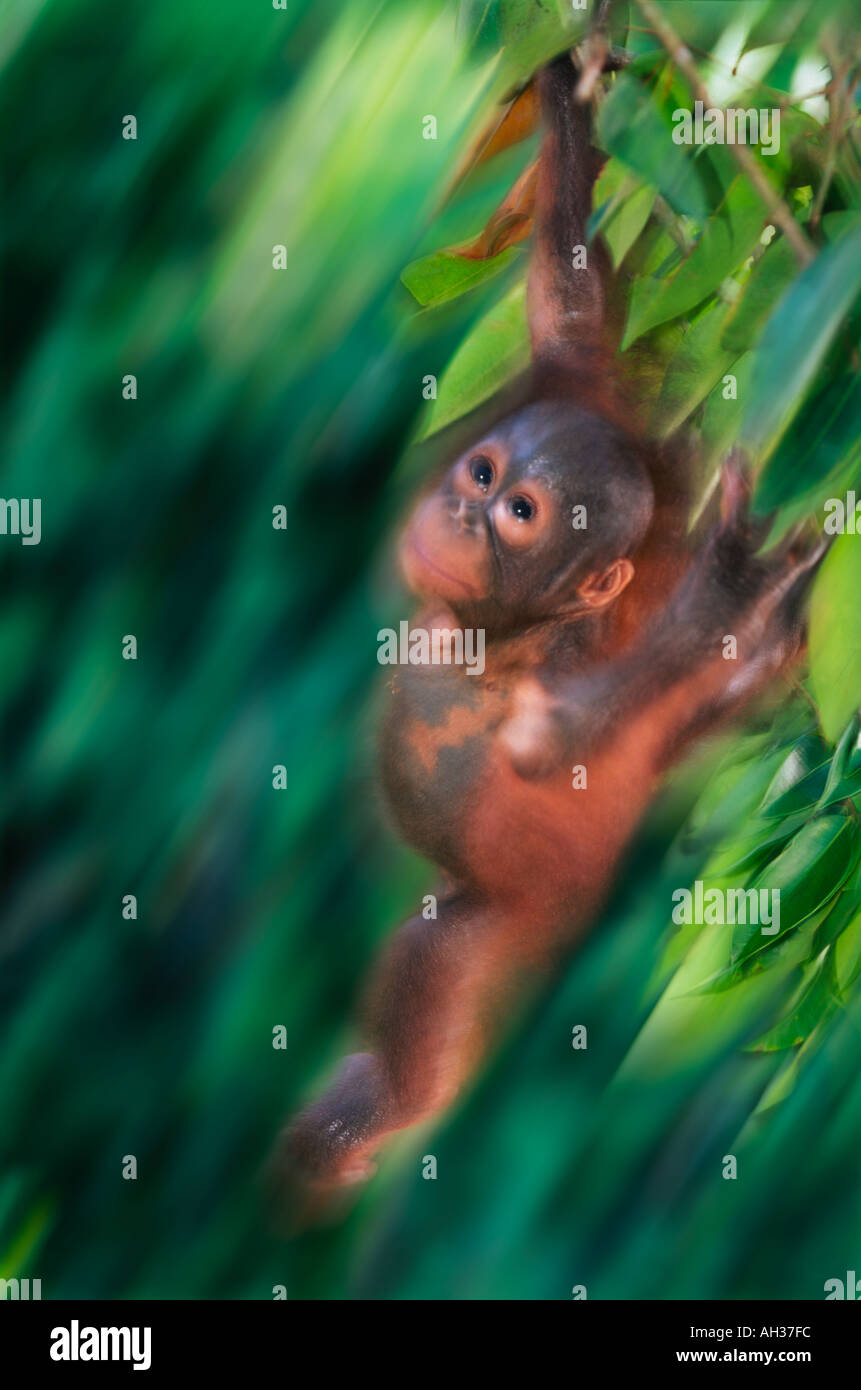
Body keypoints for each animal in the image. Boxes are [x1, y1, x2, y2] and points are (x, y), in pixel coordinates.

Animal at [272, 49, 823, 1197]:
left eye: (519, 515)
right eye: (483, 473)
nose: (460, 512)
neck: (487, 630)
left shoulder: (557, 674)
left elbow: (548, 738)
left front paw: (726, 588)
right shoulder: (585, 387)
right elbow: (567, 301)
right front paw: (573, 79)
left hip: (515, 918)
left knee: (430, 966)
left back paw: (369, 1130)